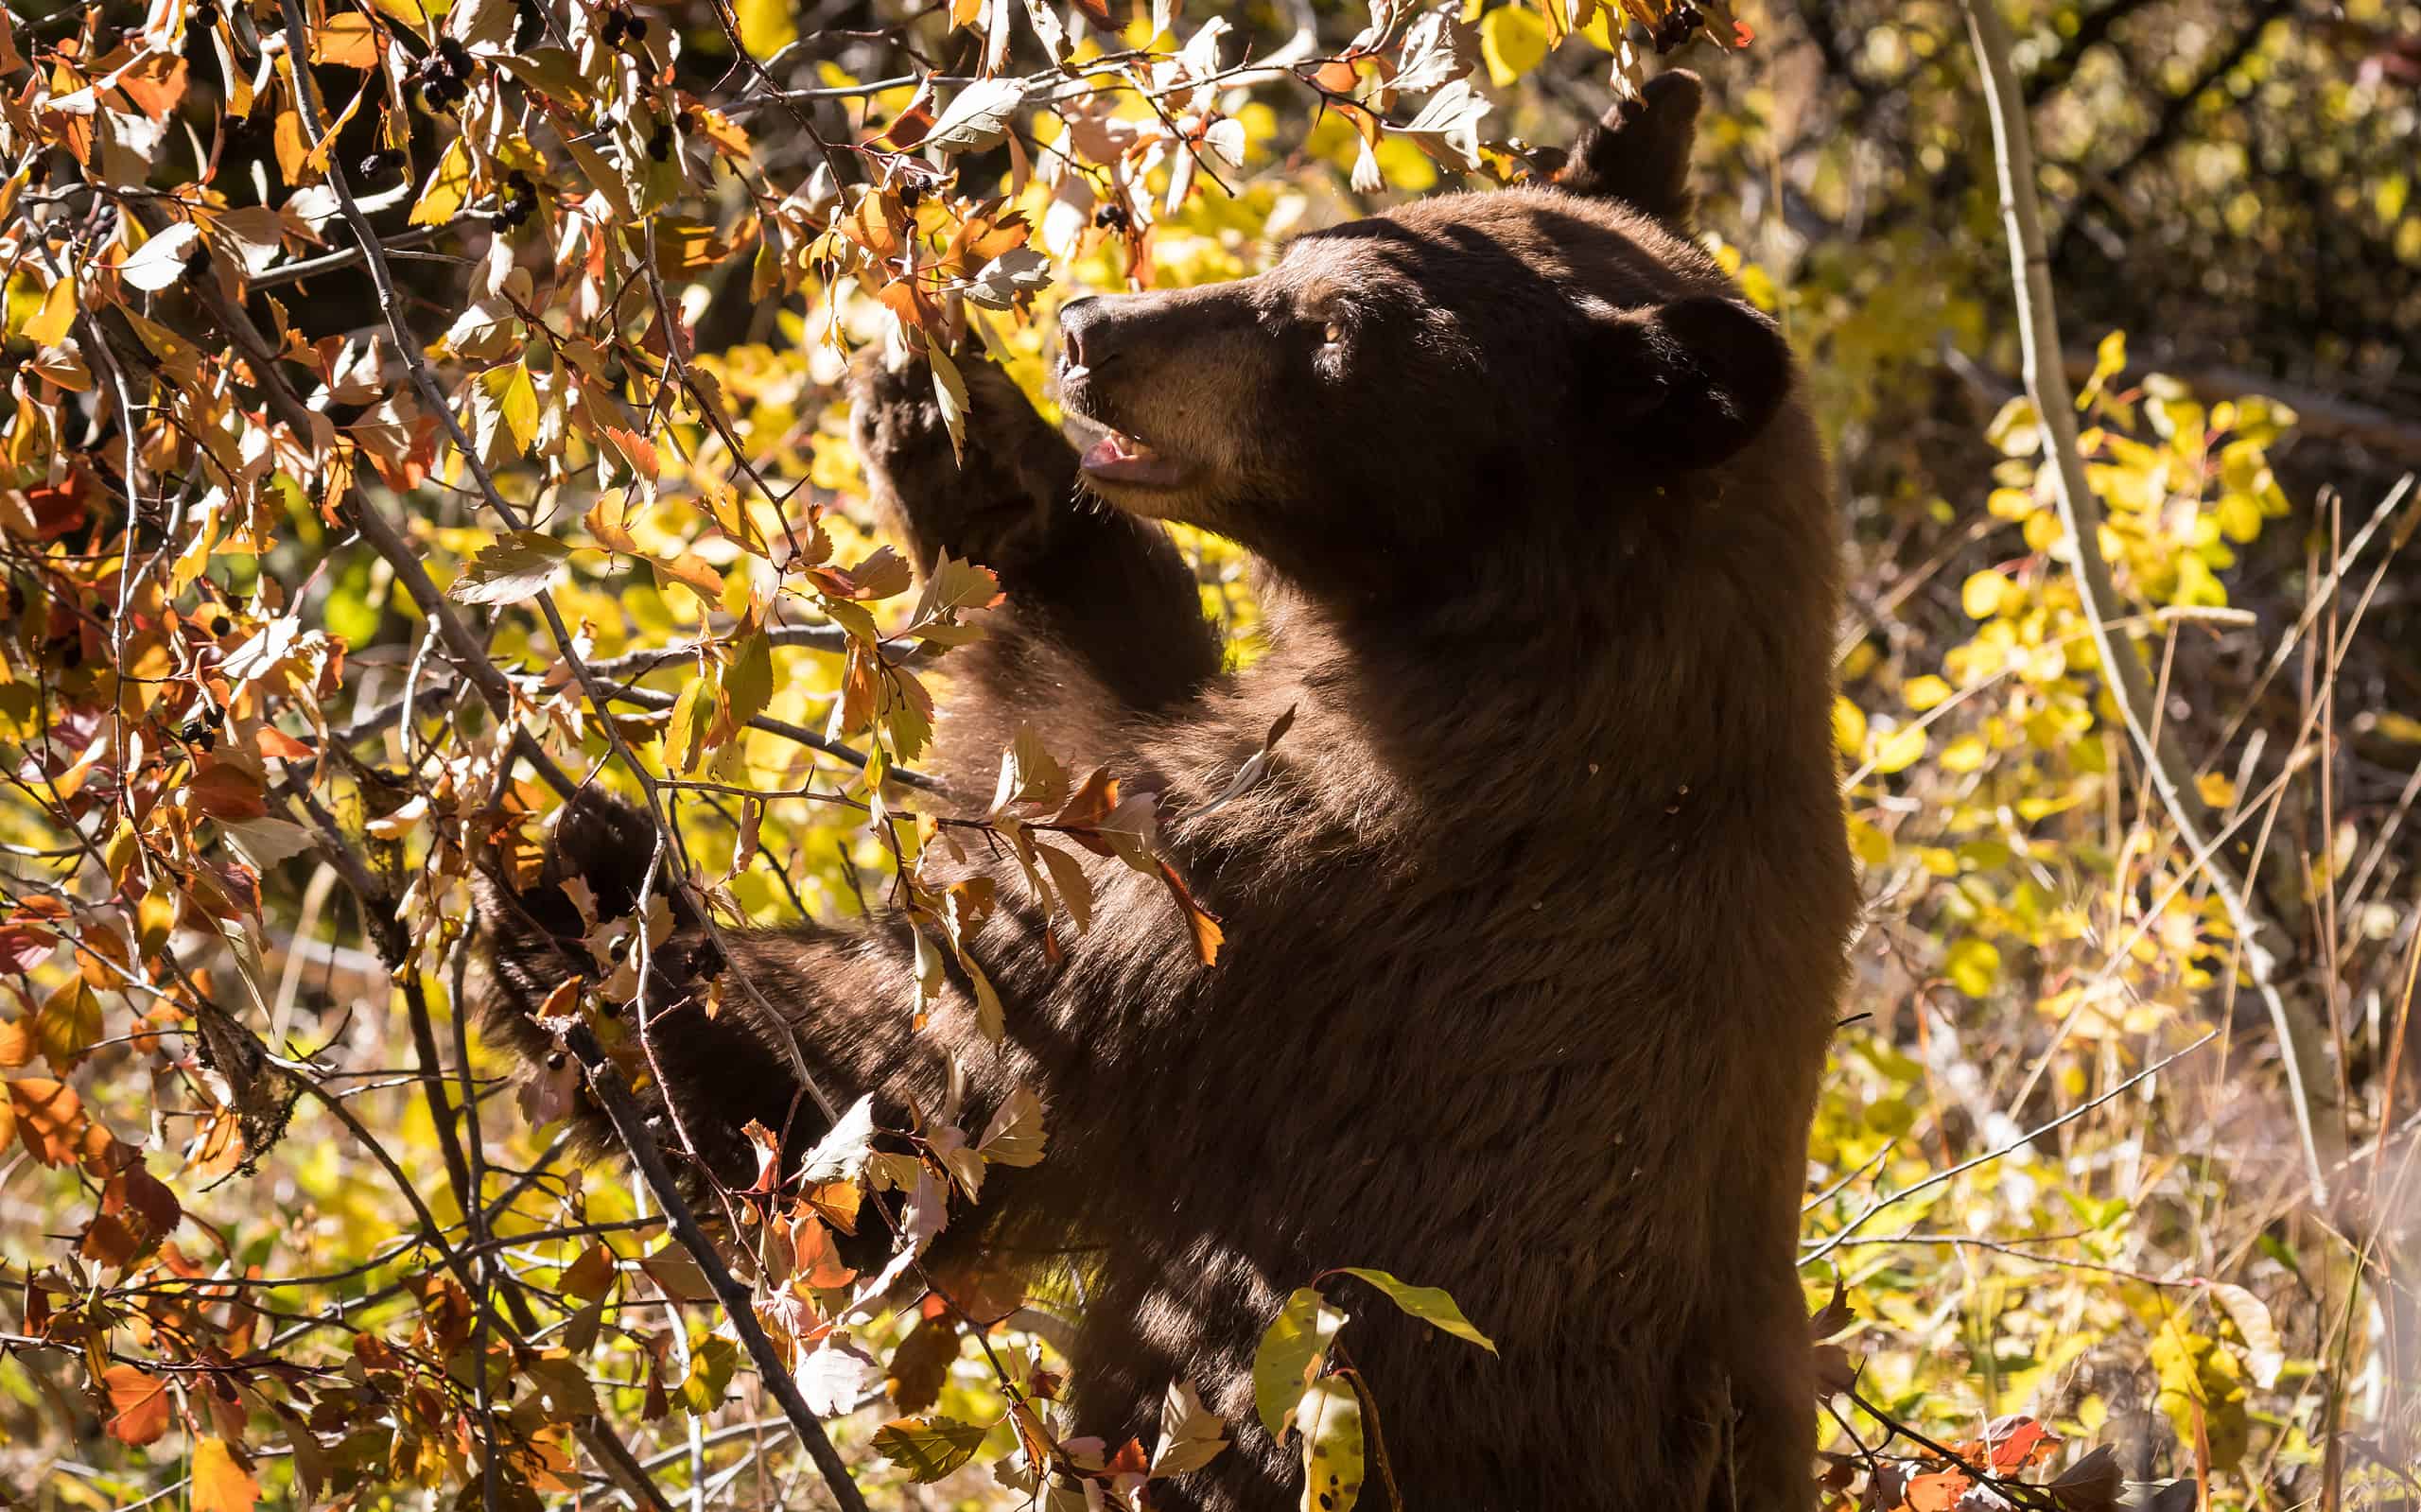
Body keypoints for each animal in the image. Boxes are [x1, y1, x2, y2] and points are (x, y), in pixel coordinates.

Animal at [480, 70, 1855, 1511]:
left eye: (1337, 326)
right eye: (1301, 250)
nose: (1092, 329)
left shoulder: (1323, 884)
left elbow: (945, 1074)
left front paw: (584, 894)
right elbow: (1067, 727)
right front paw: (970, 440)